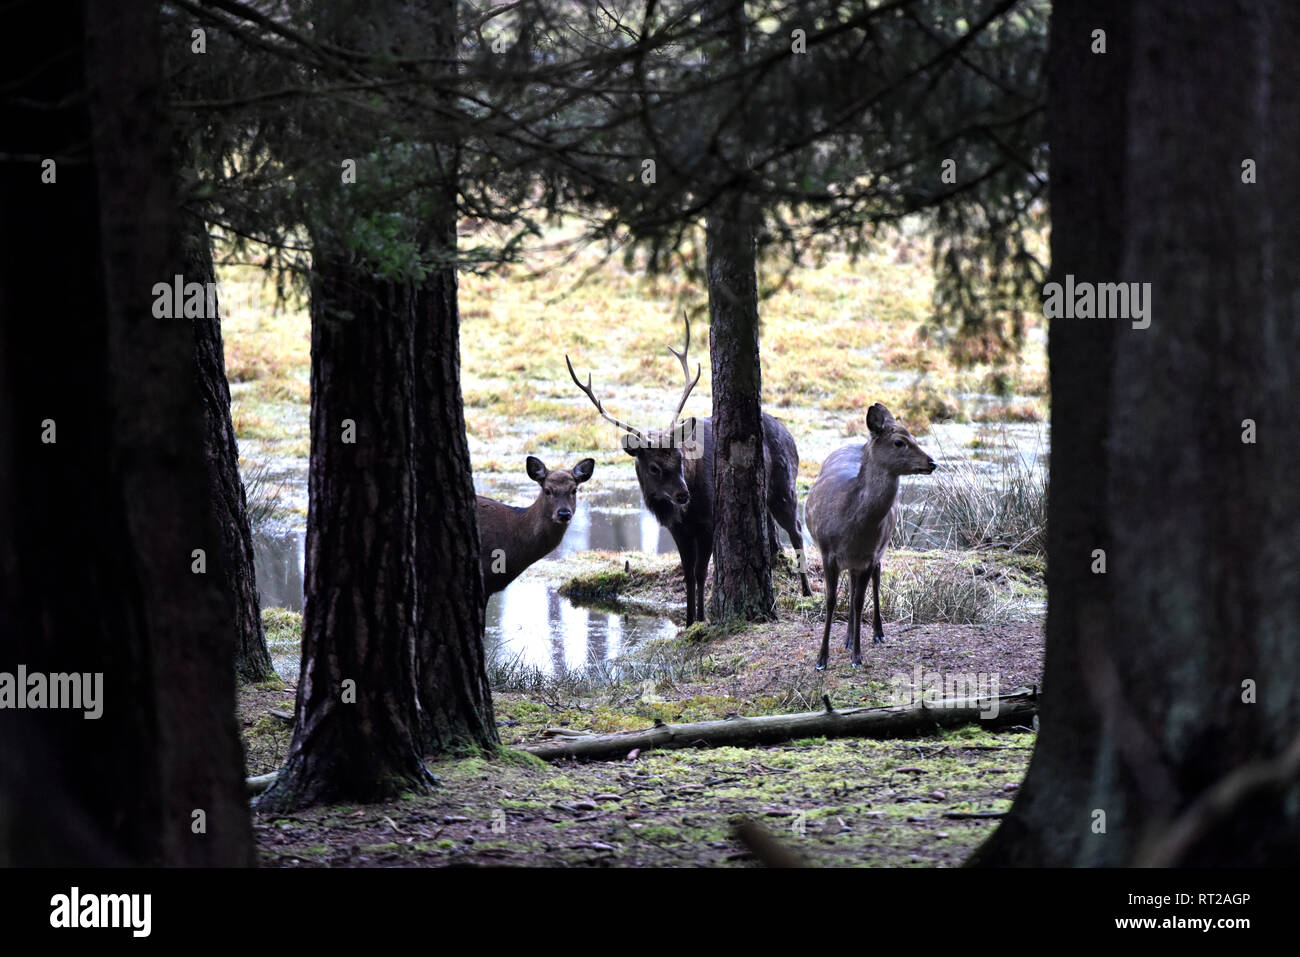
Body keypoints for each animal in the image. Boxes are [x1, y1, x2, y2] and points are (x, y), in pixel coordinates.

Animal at [566, 313, 811, 626]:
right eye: (654, 467)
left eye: (681, 457)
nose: (683, 495)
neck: (685, 512)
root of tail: (789, 434)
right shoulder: (677, 528)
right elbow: (687, 574)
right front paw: (688, 620)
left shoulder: (708, 521)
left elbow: (700, 572)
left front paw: (701, 619)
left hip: (785, 483)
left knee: (797, 529)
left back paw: (807, 592)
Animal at [804, 403, 936, 670]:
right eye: (899, 442)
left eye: (915, 437)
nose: (932, 462)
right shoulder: (828, 552)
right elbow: (831, 600)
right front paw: (822, 659)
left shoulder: (868, 555)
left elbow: (858, 601)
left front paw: (857, 657)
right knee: (853, 584)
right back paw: (846, 639)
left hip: (881, 547)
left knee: (875, 577)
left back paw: (877, 633)